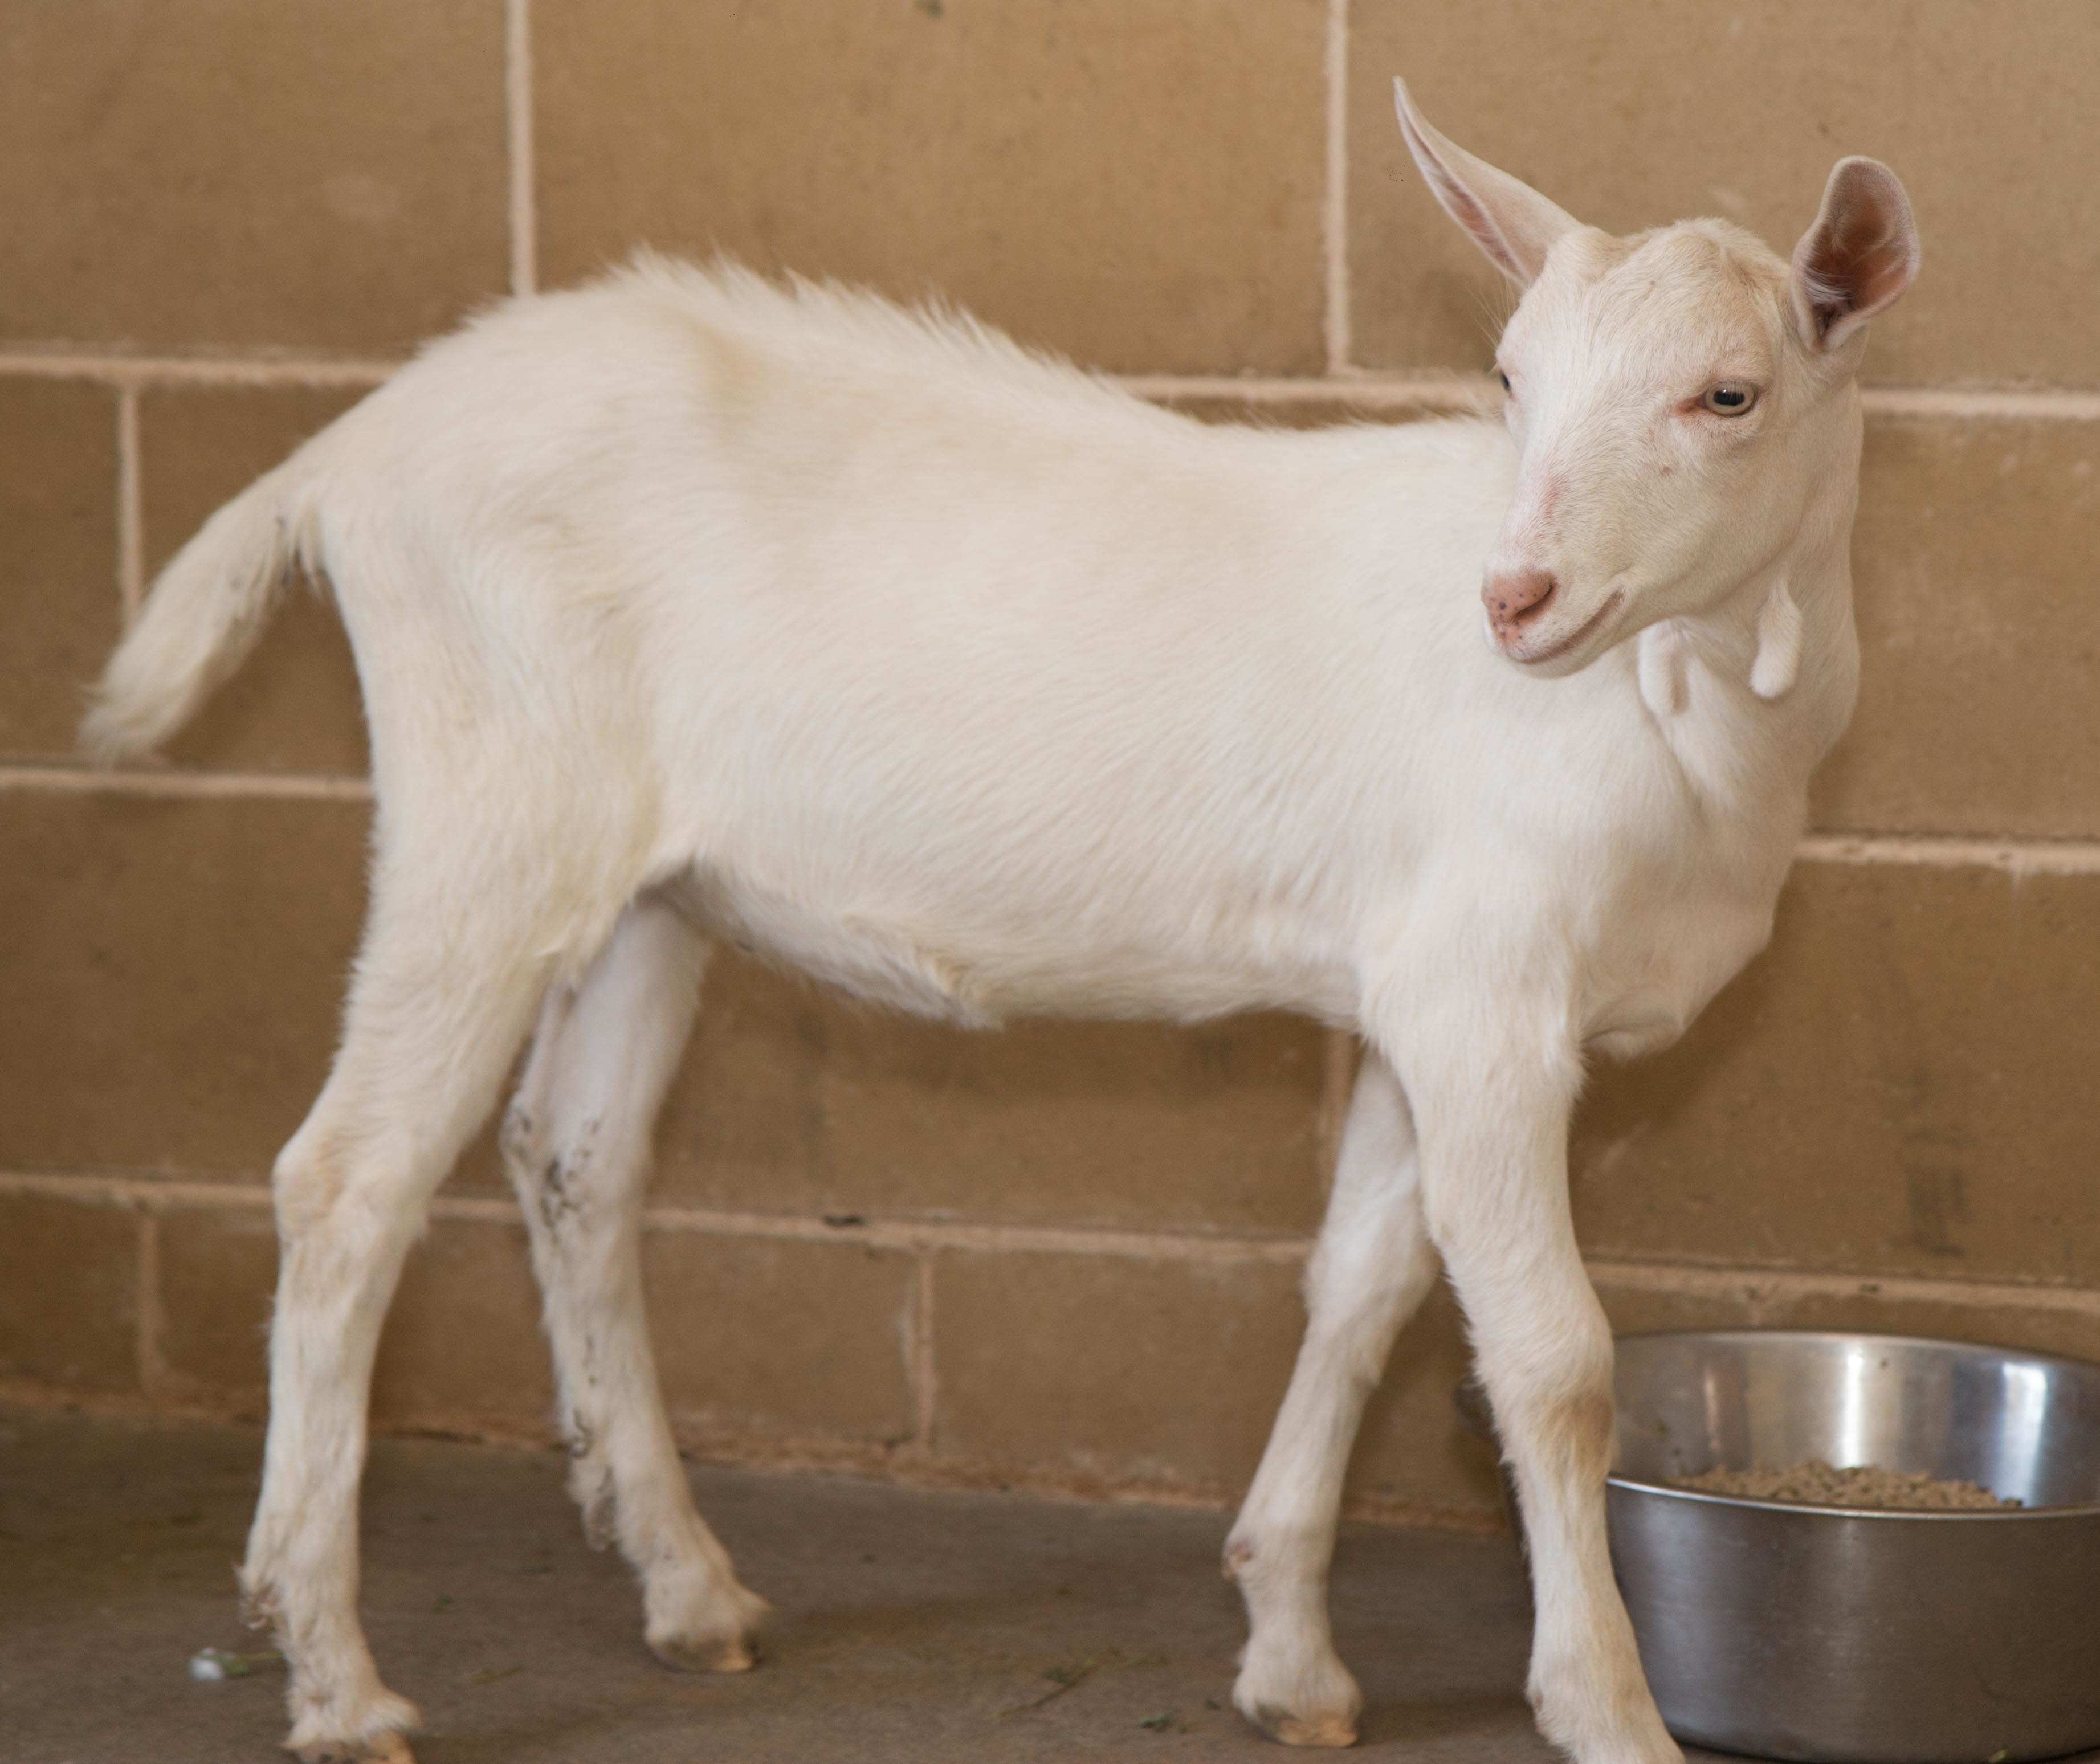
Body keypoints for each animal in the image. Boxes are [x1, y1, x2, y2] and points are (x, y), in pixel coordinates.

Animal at [83, 82, 1916, 1764]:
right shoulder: (1488, 994)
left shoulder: (1421, 996)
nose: (1514, 597)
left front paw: (1288, 1656)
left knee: (574, 1157)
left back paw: (684, 1586)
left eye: (1728, 392)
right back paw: (335, 1678)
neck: (1691, 714)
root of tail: (348, 450)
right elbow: (1549, 1355)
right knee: (346, 1180)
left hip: (647, 879)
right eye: (1513, 380)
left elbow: (1362, 1283)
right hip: (486, 804)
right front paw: (1606, 1713)